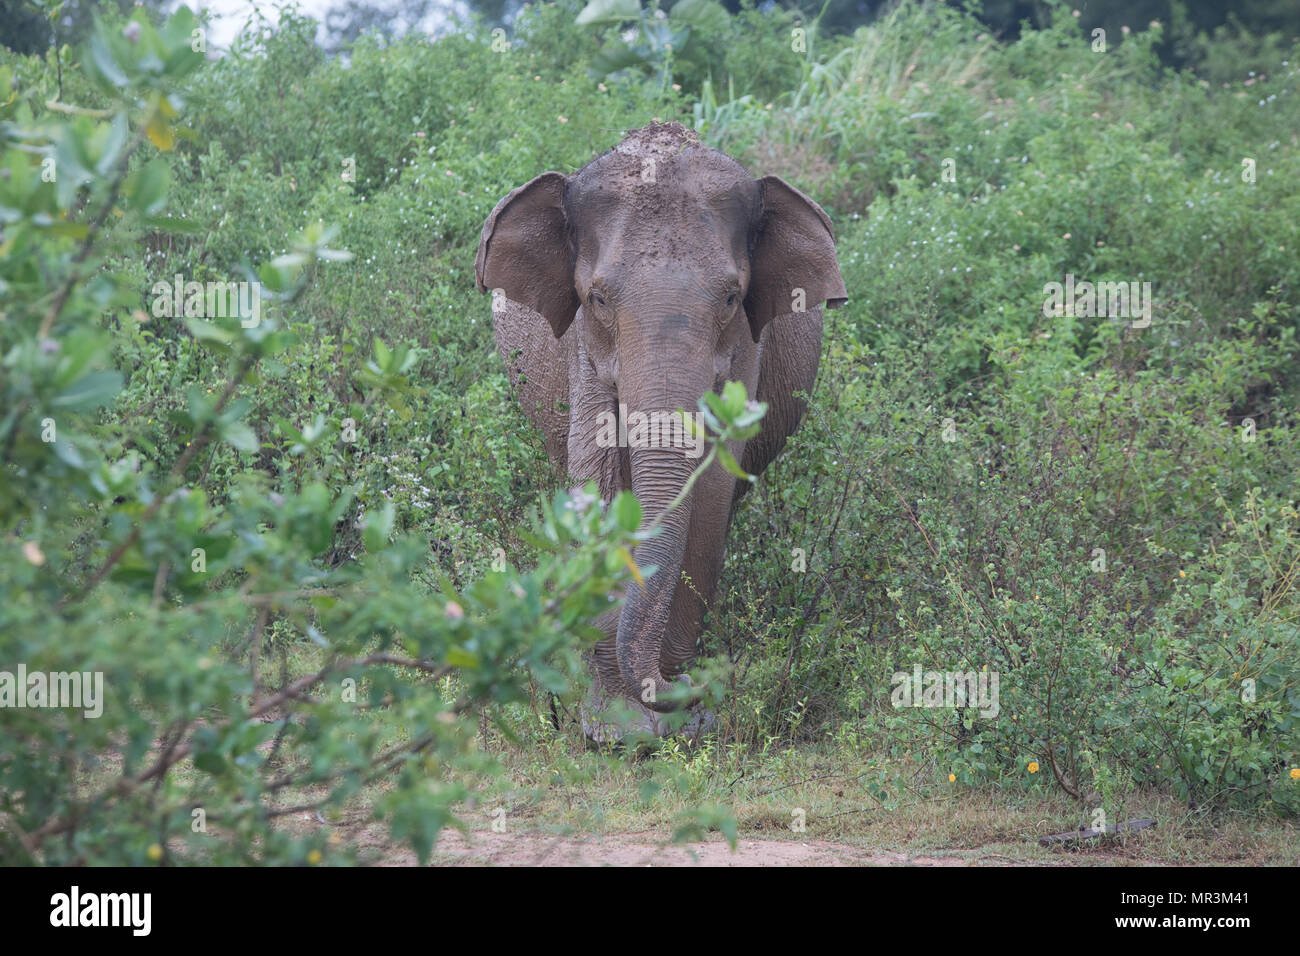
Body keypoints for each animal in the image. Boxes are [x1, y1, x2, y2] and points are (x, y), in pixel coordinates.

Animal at [476, 121, 847, 743]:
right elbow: (595, 473)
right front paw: (614, 728)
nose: (695, 684)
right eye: (597, 298)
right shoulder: (583, 349)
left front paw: (682, 725)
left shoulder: (745, 348)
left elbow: (712, 490)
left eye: (731, 298)